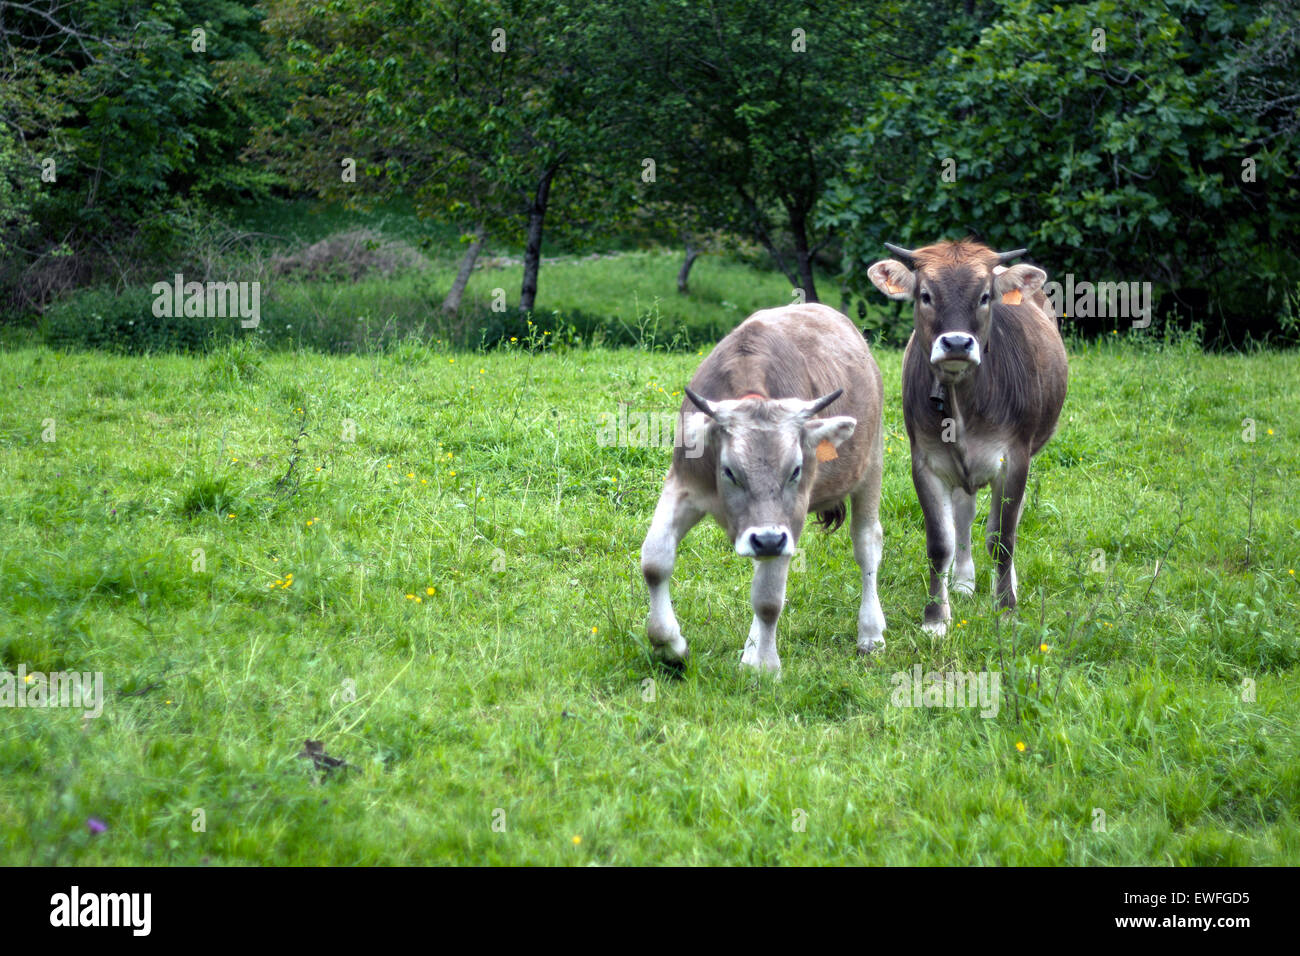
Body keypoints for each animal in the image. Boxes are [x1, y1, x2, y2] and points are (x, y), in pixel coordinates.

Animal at [639, 303, 886, 673]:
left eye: (796, 470)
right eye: (729, 471)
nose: (767, 539)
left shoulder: (790, 519)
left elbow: (768, 600)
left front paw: (765, 666)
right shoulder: (684, 484)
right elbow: (654, 562)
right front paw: (670, 645)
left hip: (871, 465)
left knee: (867, 543)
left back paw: (871, 632)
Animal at [867, 239, 1067, 636]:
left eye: (985, 296)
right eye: (925, 295)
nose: (958, 343)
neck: (961, 400)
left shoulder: (1014, 459)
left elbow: (1003, 537)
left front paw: (1006, 610)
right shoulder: (926, 462)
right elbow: (940, 542)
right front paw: (935, 618)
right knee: (963, 513)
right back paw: (962, 581)